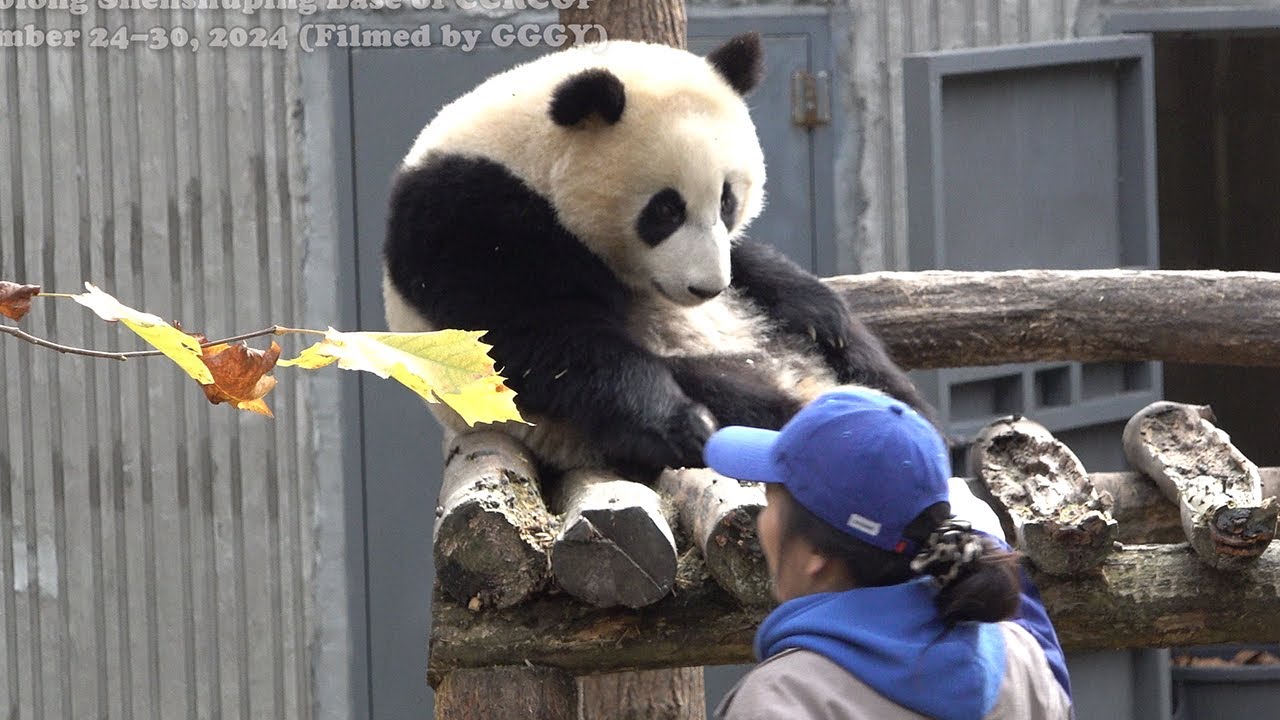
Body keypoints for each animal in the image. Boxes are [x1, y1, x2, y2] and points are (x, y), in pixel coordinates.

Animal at [382, 32, 935, 484]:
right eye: (666, 210)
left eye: (727, 200)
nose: (707, 289)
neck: (522, 156)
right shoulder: (466, 221)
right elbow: (544, 337)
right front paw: (678, 424)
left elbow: (760, 267)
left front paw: (821, 313)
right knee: (739, 396)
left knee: (870, 367)